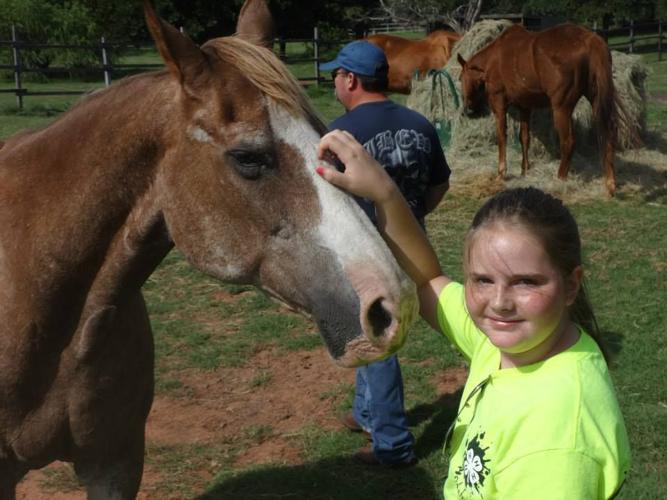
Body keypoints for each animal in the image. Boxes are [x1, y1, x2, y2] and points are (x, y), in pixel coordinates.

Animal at [457, 23, 621, 196]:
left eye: (460, 78)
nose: (468, 110)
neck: (492, 60)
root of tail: (590, 40)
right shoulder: (524, 107)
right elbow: (524, 138)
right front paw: (525, 170)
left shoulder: (499, 104)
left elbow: (502, 137)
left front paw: (501, 173)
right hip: (596, 100)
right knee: (608, 134)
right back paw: (610, 183)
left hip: (561, 108)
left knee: (568, 142)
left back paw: (560, 178)